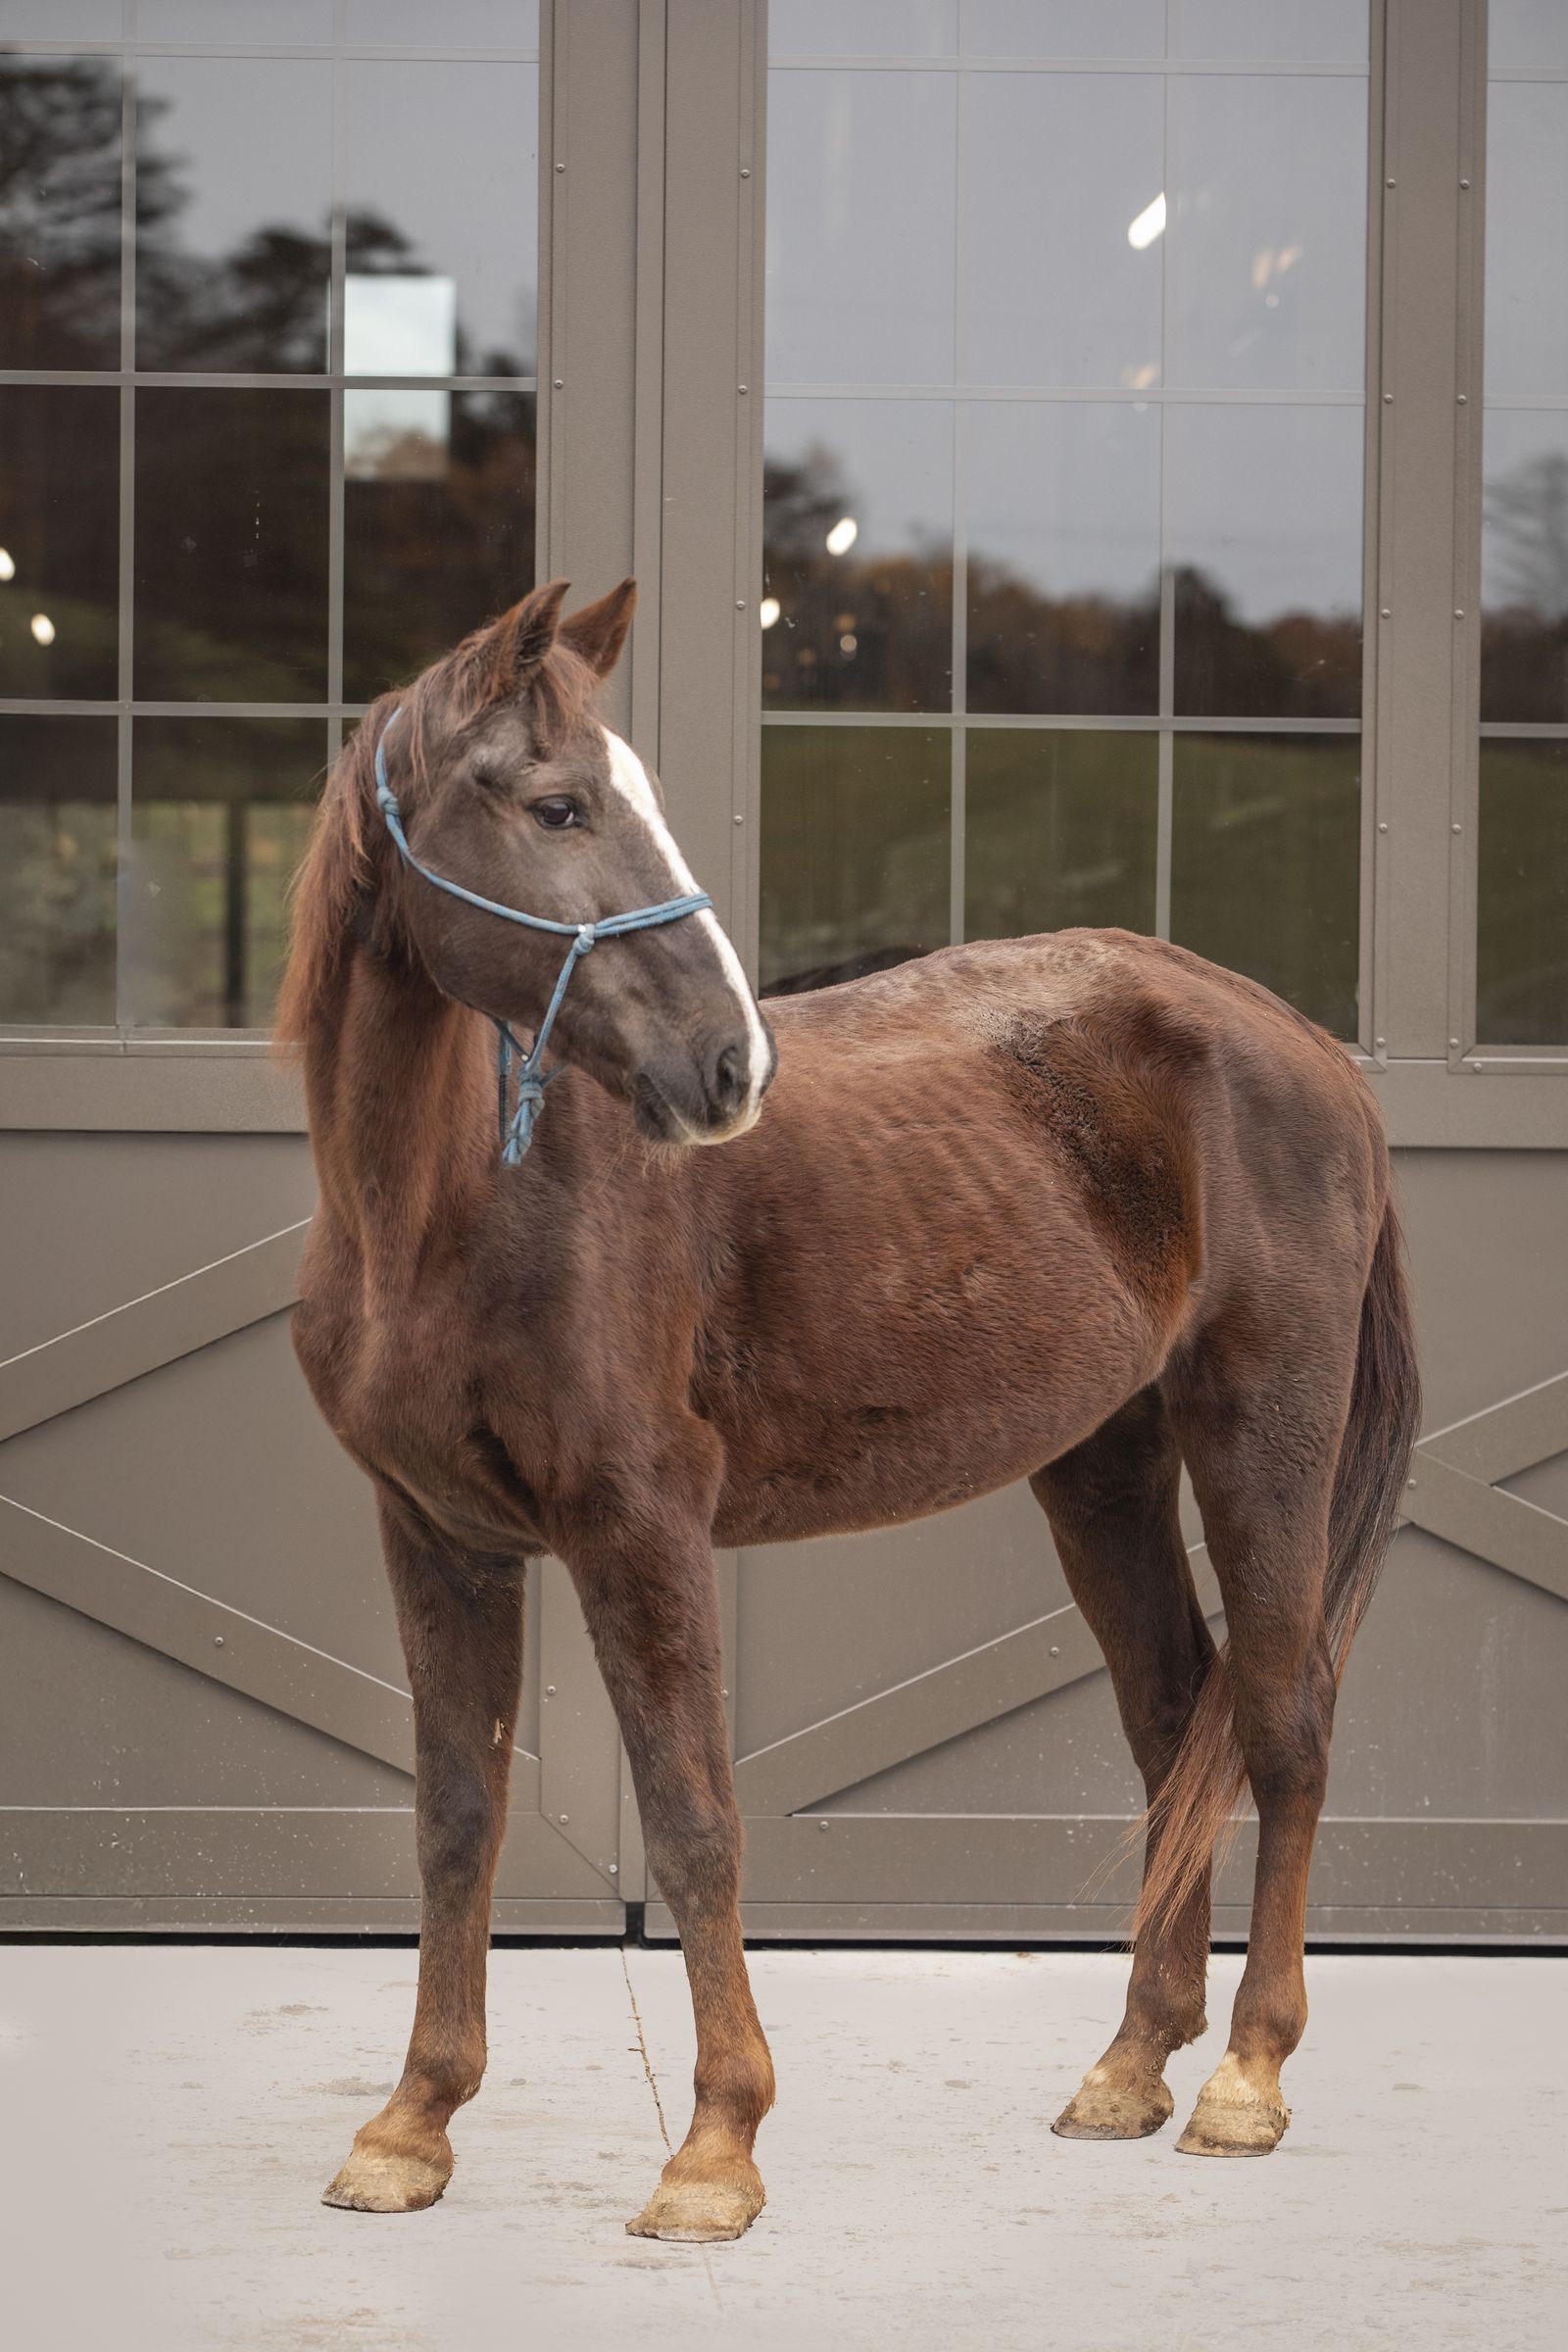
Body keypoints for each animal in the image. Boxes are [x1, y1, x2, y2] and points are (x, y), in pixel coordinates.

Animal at [277, 577, 1420, 2242]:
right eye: (557, 805)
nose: (727, 1066)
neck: (451, 1217)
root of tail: (1303, 1047)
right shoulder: (439, 1536)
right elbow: (455, 1821)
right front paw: (411, 2126)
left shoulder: (639, 1527)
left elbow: (694, 1820)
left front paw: (714, 2151)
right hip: (1104, 1468)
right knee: (1171, 1722)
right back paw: (1129, 2067)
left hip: (1264, 1434)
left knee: (1284, 1723)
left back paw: (1245, 2082)